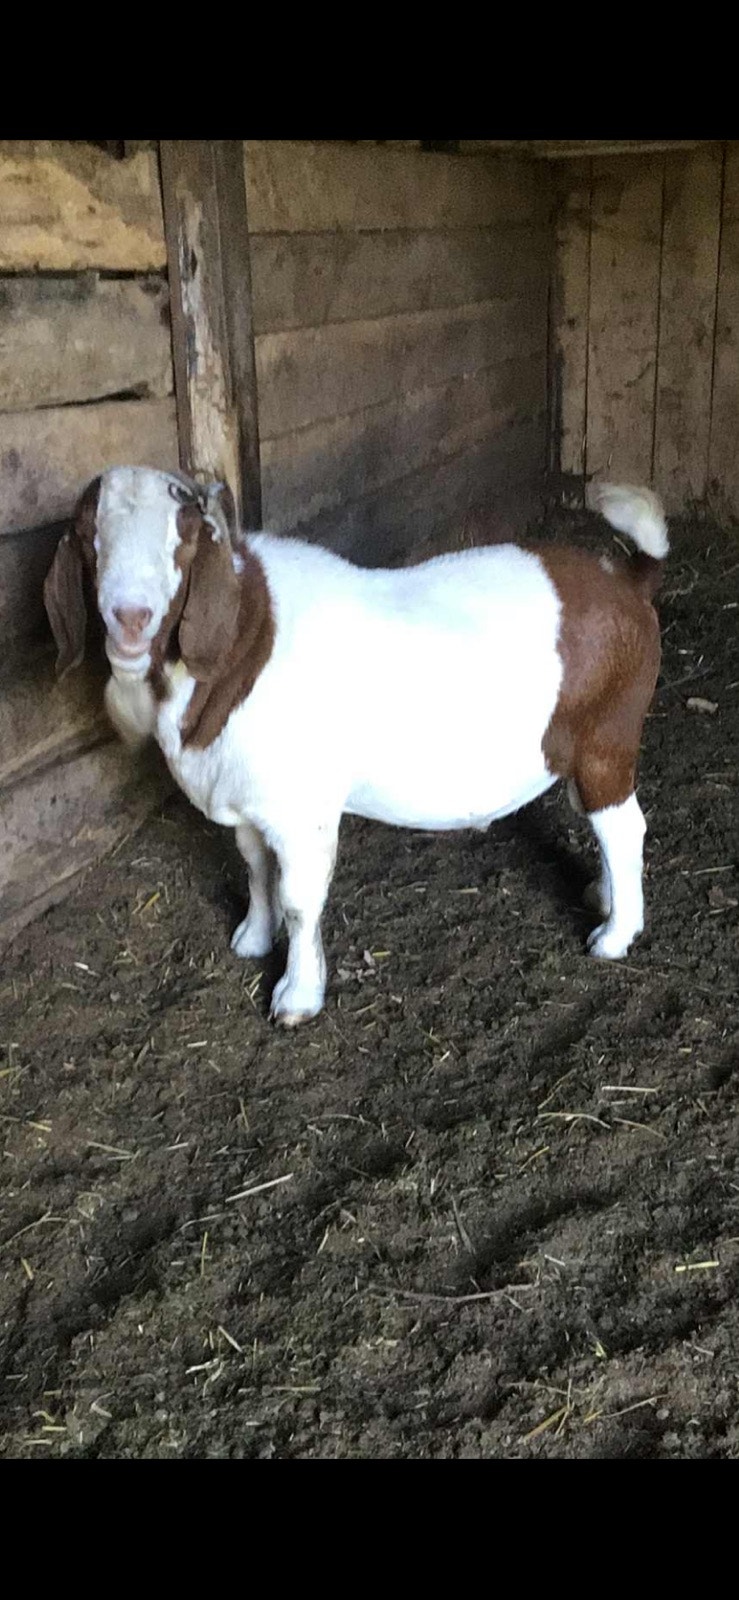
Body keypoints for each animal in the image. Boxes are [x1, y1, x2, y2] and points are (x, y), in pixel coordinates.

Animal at [43, 469, 668, 1026]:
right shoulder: (250, 799)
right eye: (86, 534)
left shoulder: (301, 811)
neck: (245, 642)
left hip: (609, 733)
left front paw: (296, 998)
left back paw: (615, 935)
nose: (130, 618)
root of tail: (630, 577)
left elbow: (299, 900)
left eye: (184, 538)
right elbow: (255, 868)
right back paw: (603, 895)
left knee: (624, 825)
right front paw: (252, 938)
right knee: (599, 820)